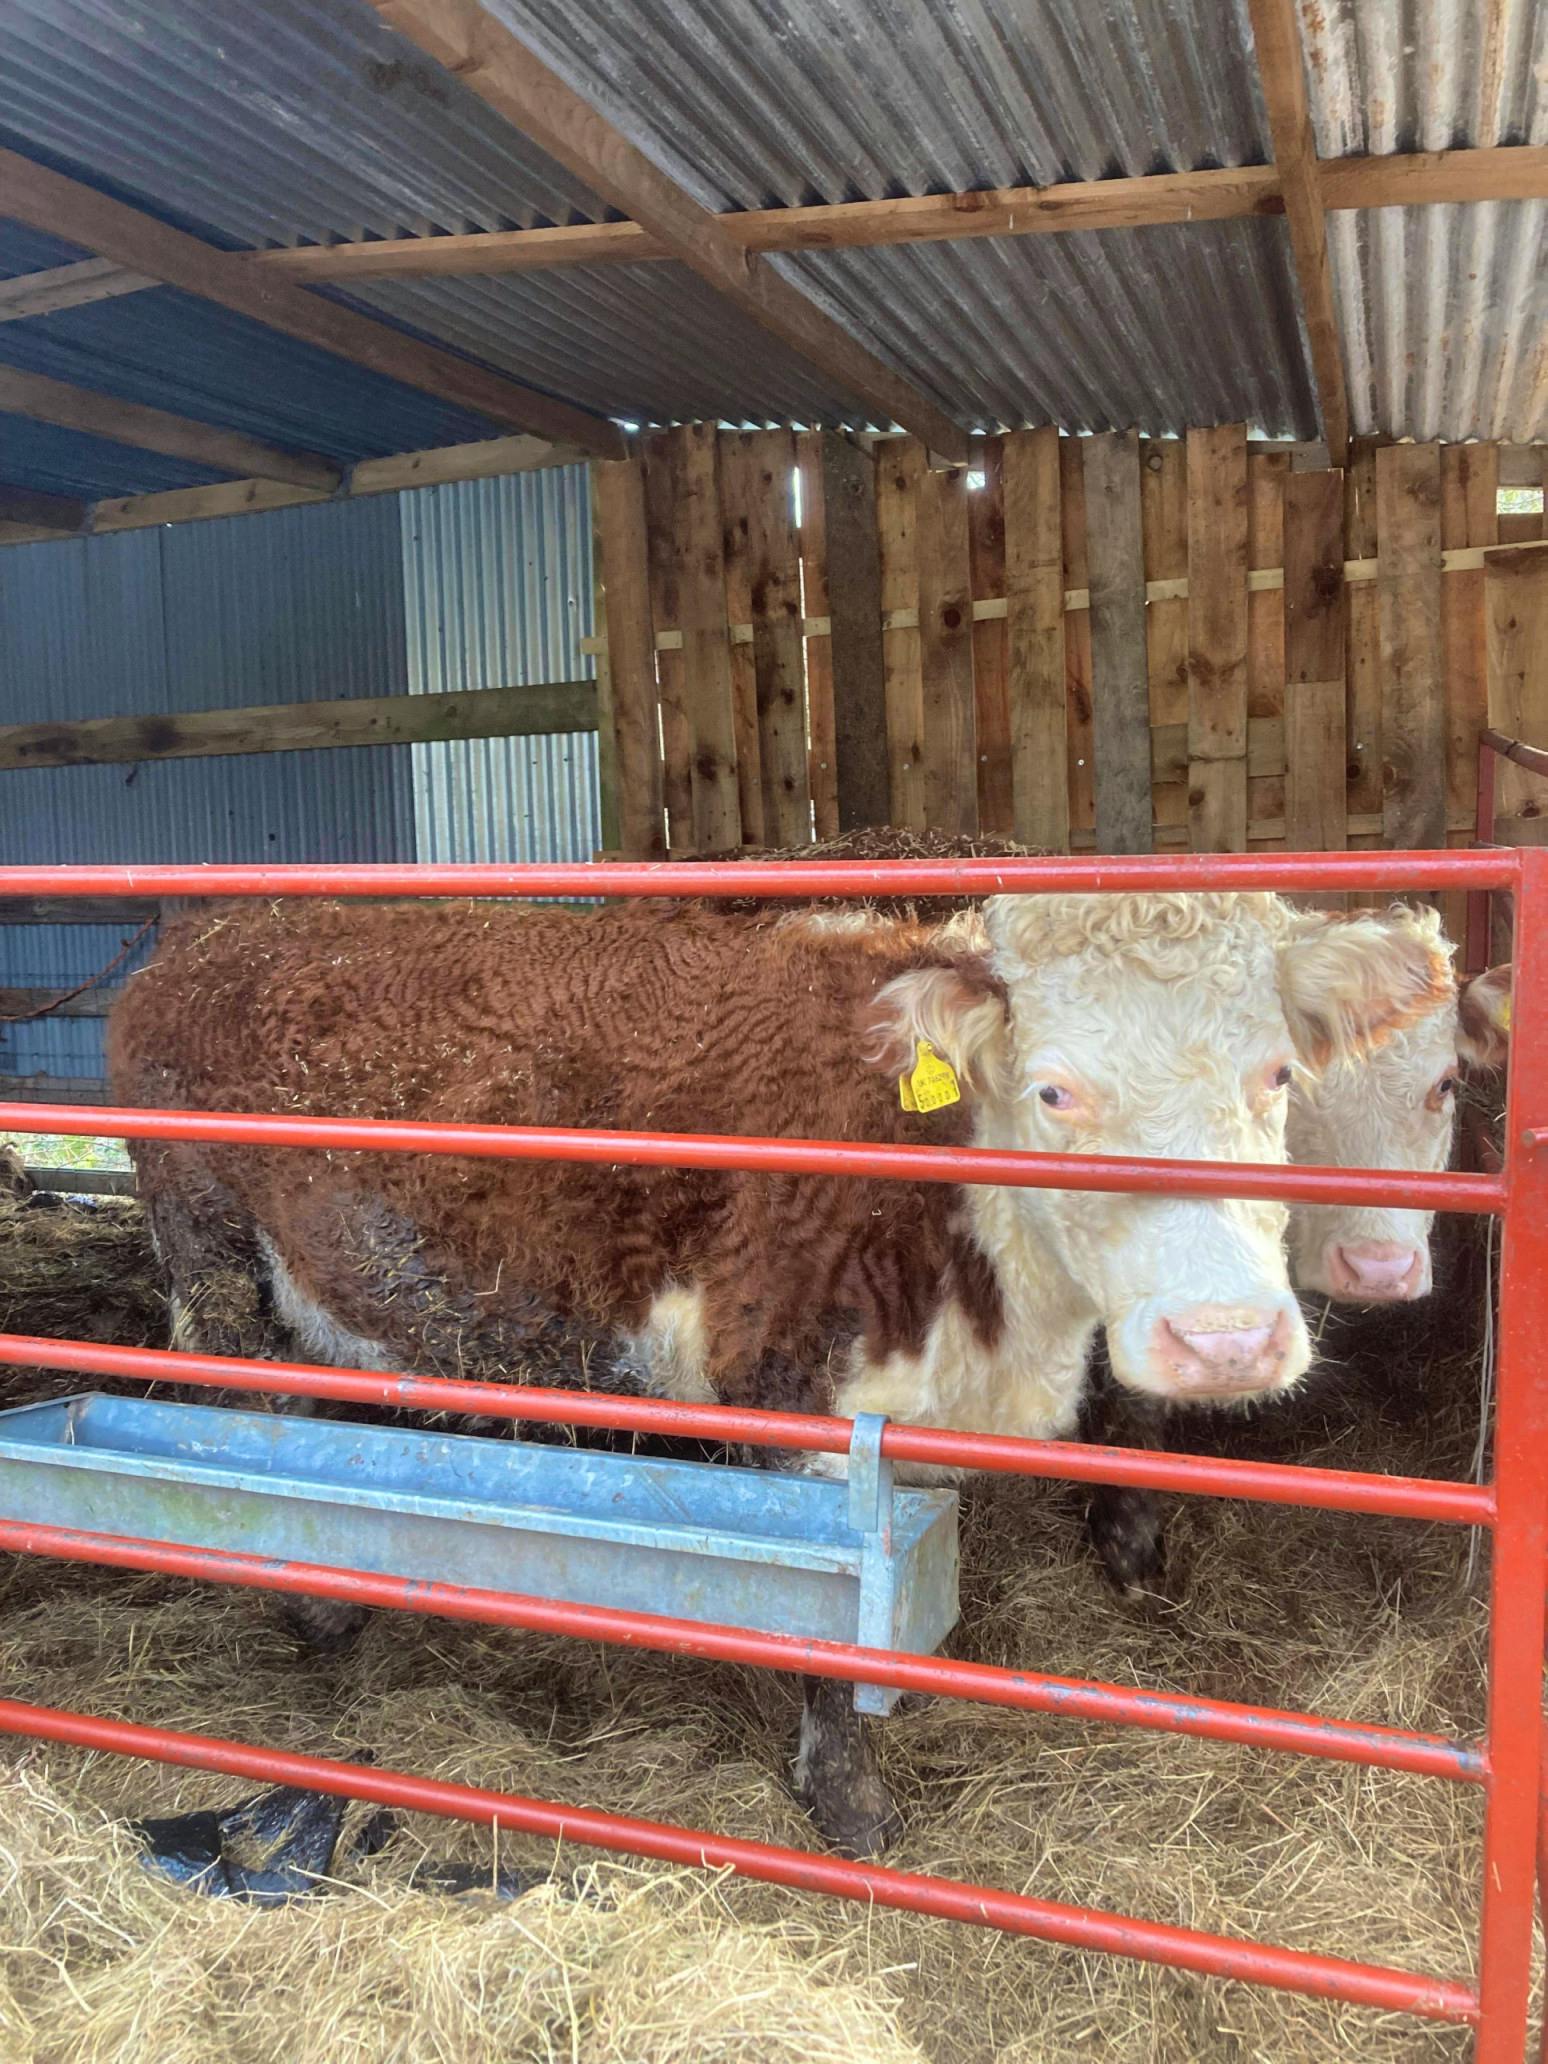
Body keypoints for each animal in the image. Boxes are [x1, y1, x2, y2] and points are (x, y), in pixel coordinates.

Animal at [109, 888, 1445, 1855]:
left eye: (1278, 1077)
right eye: (1056, 1089)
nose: (1226, 1338)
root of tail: (216, 928)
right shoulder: (790, 1386)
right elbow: (828, 1633)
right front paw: (851, 1805)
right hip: (213, 1252)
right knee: (238, 1403)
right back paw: (313, 1611)